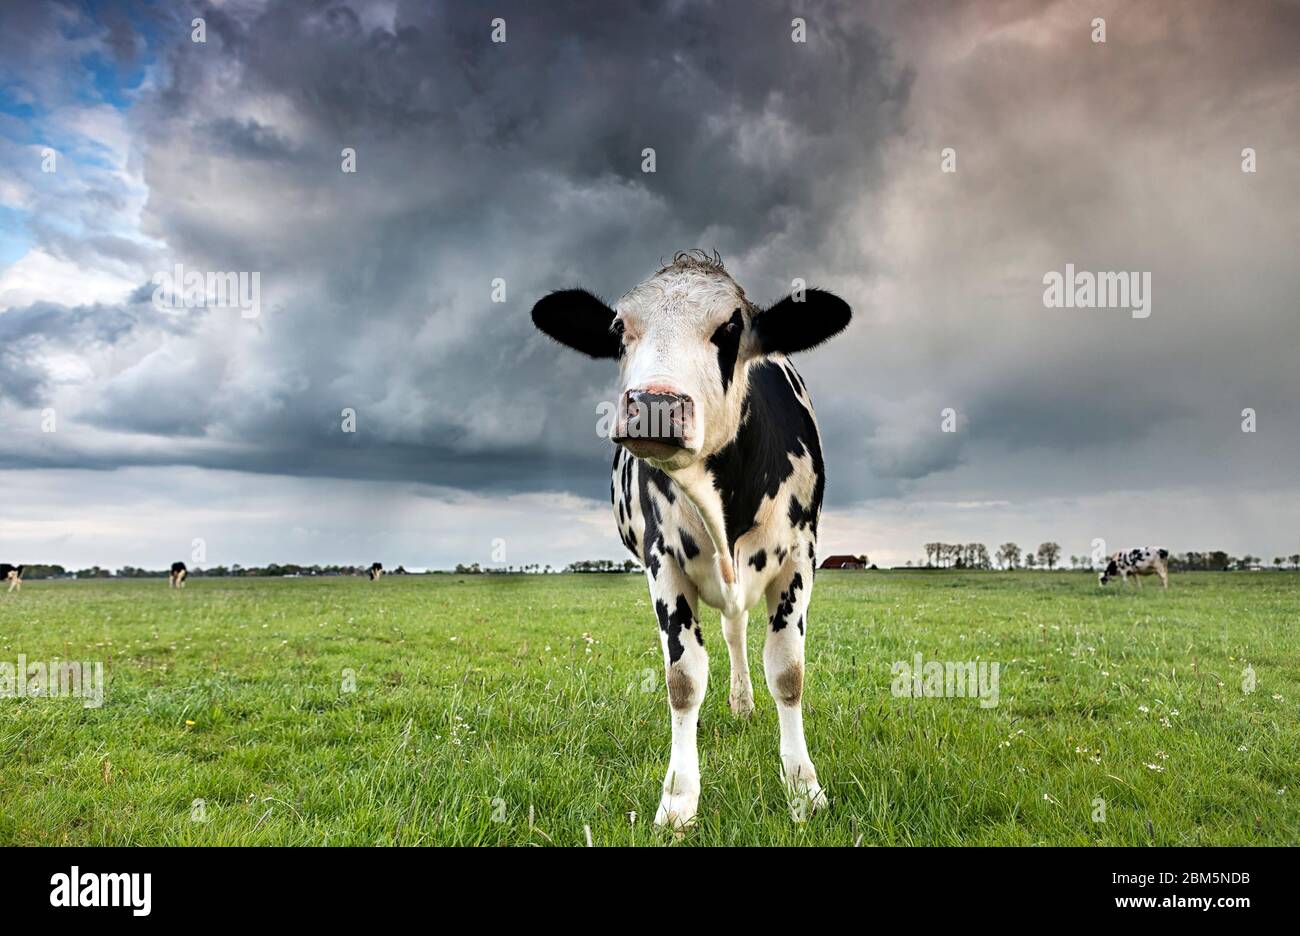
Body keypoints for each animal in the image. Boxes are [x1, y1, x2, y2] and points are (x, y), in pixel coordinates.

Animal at [531, 251, 852, 827]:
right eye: (619, 329)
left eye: (731, 327)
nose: (654, 405)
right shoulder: (663, 562)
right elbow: (683, 681)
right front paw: (679, 799)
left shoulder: (800, 556)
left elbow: (788, 672)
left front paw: (802, 788)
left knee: (738, 631)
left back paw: (745, 703)